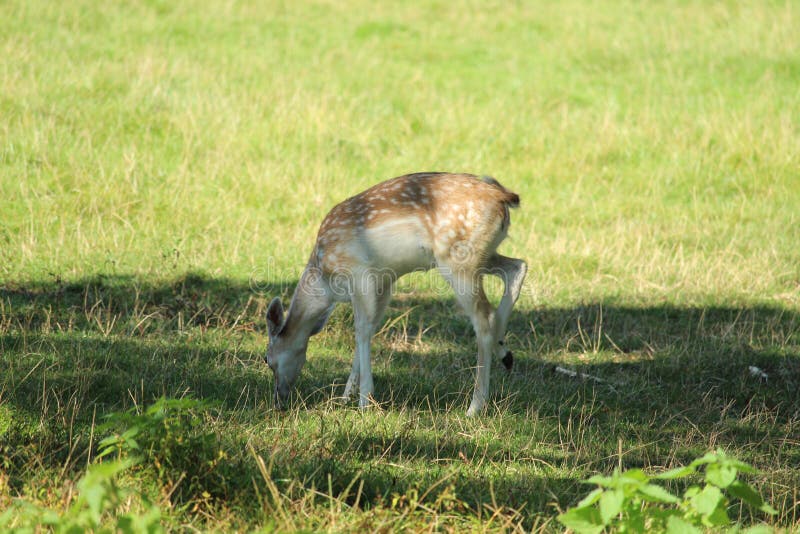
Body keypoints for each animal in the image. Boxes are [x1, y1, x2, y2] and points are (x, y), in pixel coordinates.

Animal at [264, 172, 527, 417]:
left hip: (458, 259)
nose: (278, 400)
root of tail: (503, 197)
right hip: (483, 255)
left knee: (484, 318)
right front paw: (346, 396)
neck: (324, 281)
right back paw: (505, 354)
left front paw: (364, 401)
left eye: (267, 360)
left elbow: (361, 330)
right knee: (518, 267)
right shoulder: (384, 283)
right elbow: (369, 327)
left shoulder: (359, 273)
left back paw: (475, 406)